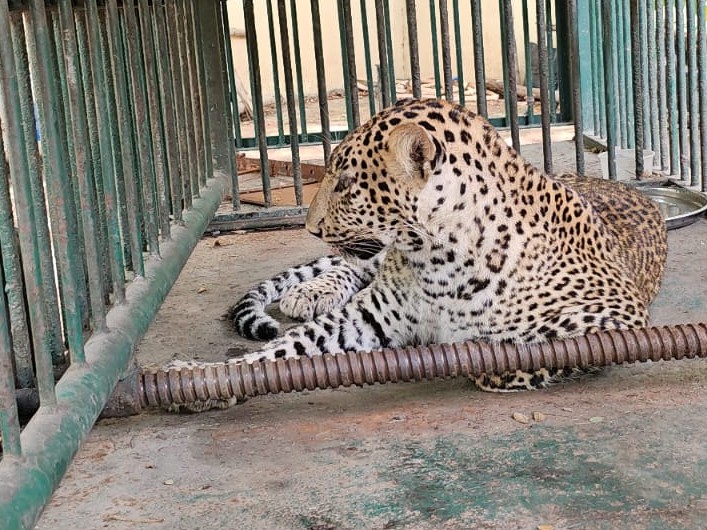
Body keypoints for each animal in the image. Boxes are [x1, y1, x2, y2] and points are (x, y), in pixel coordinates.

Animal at [172, 97, 668, 411]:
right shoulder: (368, 316)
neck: (439, 260)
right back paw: (310, 292)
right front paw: (201, 378)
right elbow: (286, 348)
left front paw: (494, 362)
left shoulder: (620, 313)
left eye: (346, 183)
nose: (311, 228)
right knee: (347, 269)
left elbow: (536, 345)